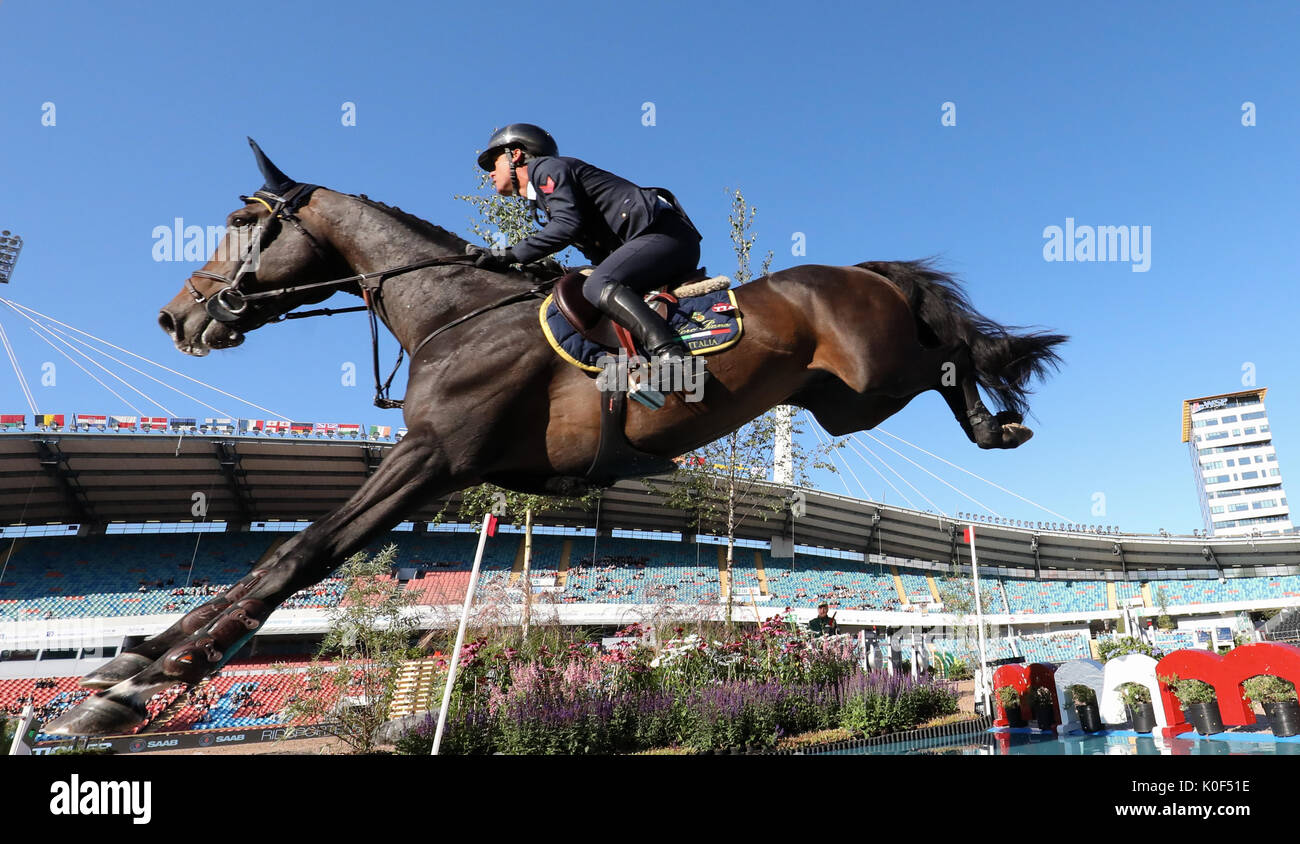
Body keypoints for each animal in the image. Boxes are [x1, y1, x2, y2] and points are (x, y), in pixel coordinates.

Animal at [45, 139, 1065, 735]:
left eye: (241, 224)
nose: (178, 317)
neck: (451, 313)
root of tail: (862, 272)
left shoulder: (431, 459)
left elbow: (299, 554)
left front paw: (146, 680)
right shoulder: (445, 473)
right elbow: (281, 557)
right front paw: (124, 667)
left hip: (873, 376)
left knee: (952, 351)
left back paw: (995, 417)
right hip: (844, 399)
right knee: (944, 348)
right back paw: (996, 417)